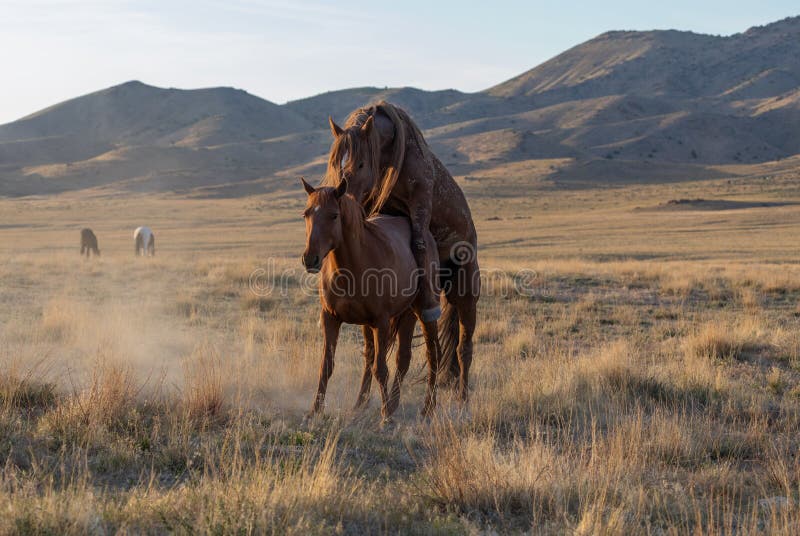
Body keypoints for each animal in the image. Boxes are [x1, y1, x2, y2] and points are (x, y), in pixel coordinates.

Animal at [301, 178, 441, 421]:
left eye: (334, 215)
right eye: (306, 214)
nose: (310, 259)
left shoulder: (381, 322)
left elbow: (381, 369)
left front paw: (386, 417)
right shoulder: (330, 319)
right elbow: (327, 365)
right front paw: (314, 411)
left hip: (422, 312)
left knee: (432, 354)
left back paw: (427, 408)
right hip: (402, 315)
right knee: (399, 358)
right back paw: (373, 404)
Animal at [323, 101, 479, 402]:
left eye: (361, 163)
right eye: (336, 162)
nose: (342, 194)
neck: (393, 153)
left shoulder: (420, 208)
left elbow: (419, 243)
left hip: (466, 294)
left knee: (463, 349)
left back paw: (463, 400)